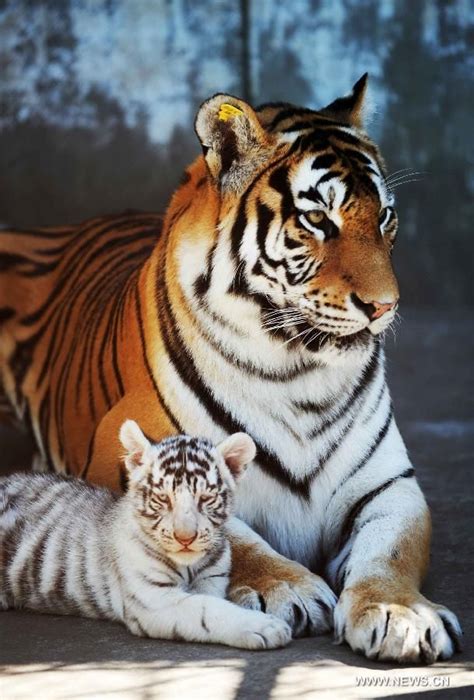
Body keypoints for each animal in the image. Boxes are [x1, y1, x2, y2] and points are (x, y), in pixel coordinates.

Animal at [0, 74, 462, 663]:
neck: (299, 374)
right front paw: (287, 587)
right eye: (318, 219)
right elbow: (235, 537)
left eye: (384, 216)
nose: (384, 307)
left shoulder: (387, 484)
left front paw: (400, 614)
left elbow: (392, 550)